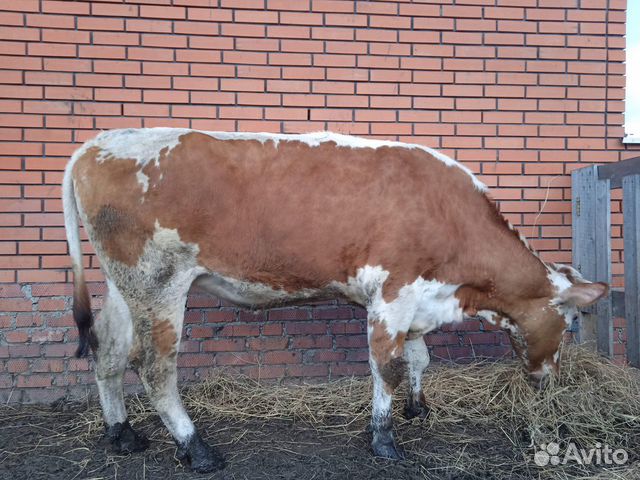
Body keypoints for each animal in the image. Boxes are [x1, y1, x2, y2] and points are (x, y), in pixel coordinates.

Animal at [63, 128, 607, 472]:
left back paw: (122, 434)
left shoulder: (417, 301)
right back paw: (196, 448)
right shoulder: (392, 293)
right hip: (159, 282)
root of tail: (101, 142)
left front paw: (417, 408)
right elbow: (387, 366)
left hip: (124, 284)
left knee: (108, 351)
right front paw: (384, 440)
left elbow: (419, 357)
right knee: (155, 368)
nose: (549, 379)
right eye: (572, 322)